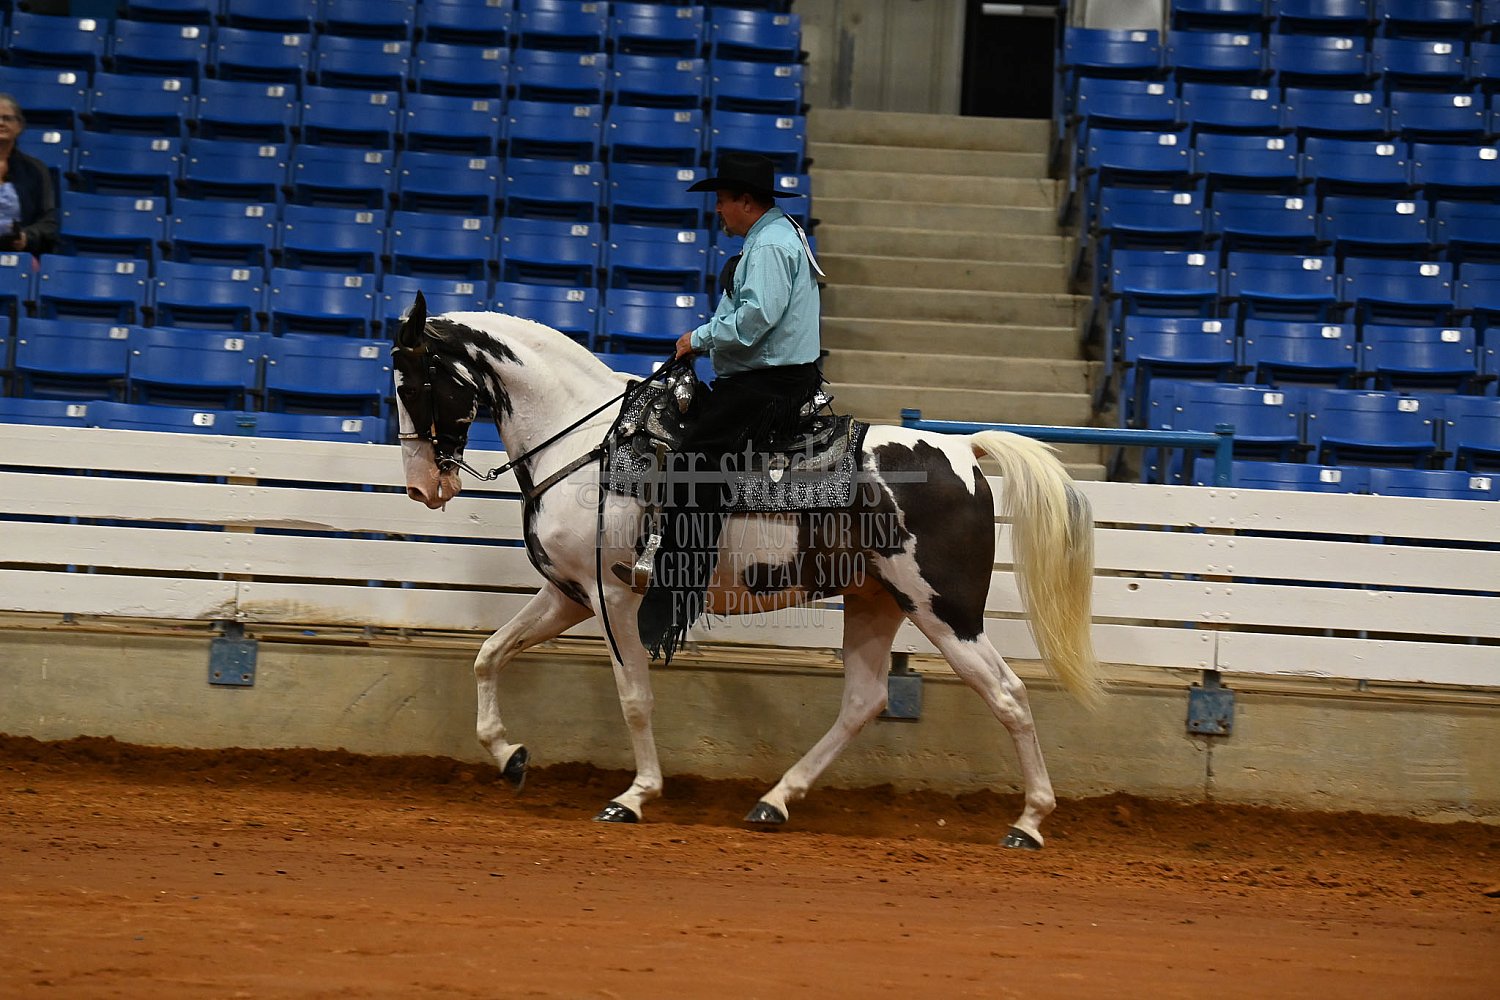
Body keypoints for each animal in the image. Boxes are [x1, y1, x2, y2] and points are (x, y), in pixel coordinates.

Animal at [391, 293, 1103, 849]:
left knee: (1008, 695)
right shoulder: (567, 592)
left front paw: (633, 796)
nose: (423, 488)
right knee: (864, 700)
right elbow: (490, 653)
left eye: (412, 384)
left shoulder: (613, 596)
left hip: (946, 610)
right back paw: (775, 800)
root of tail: (964, 450)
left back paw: (1029, 823)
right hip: (876, 602)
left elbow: (635, 698)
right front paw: (509, 756)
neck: (585, 446)